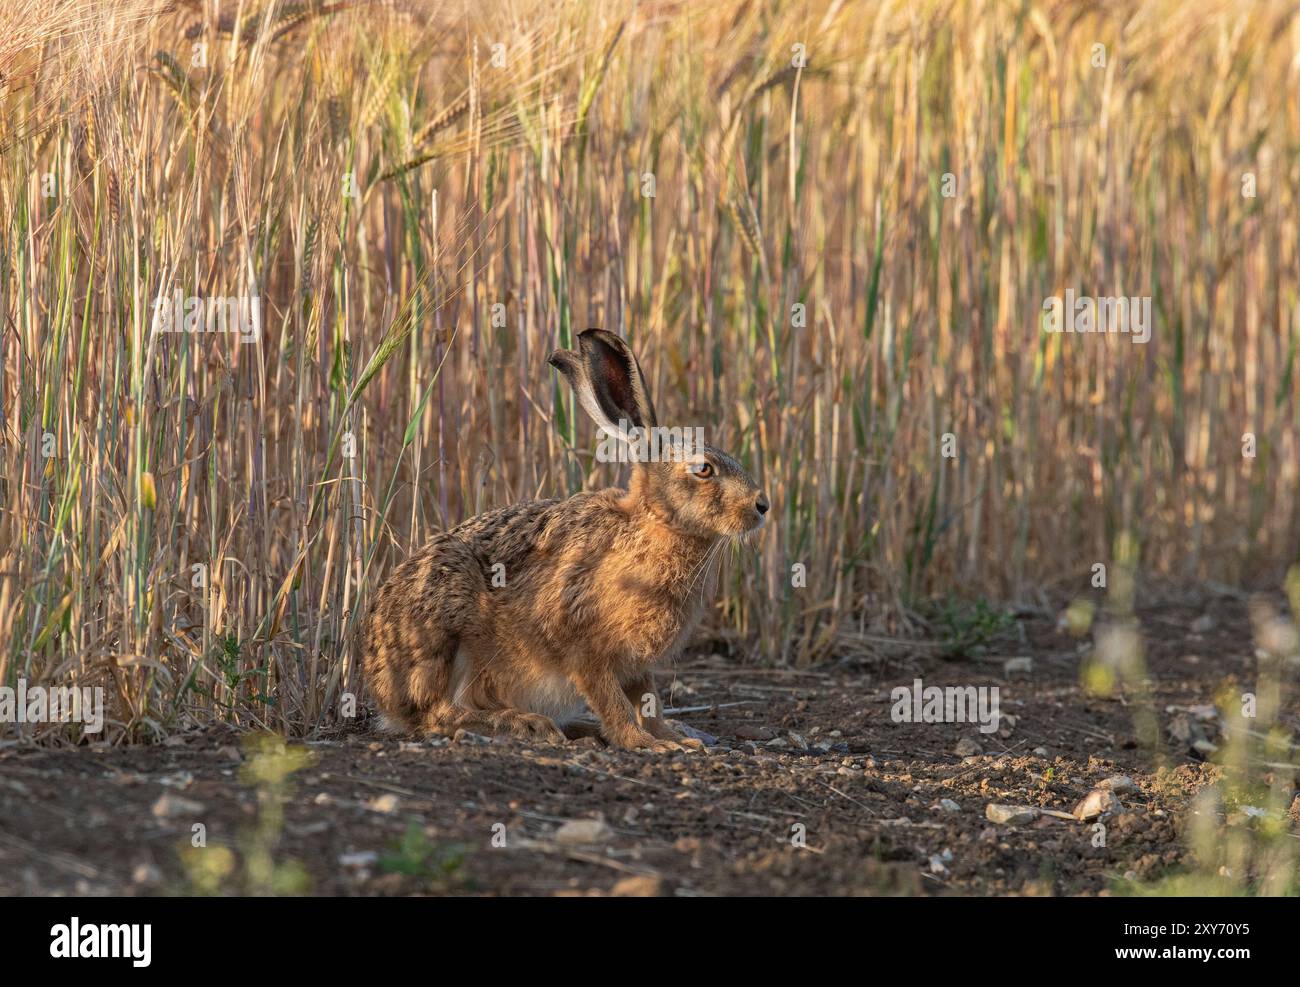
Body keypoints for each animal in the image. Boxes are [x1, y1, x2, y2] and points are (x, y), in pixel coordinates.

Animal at [361, 329, 769, 752]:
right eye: (703, 469)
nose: (762, 506)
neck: (656, 525)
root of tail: (381, 687)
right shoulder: (585, 651)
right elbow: (613, 702)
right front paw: (645, 743)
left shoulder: (636, 666)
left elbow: (649, 701)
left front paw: (675, 739)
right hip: (445, 634)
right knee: (436, 714)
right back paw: (525, 724)